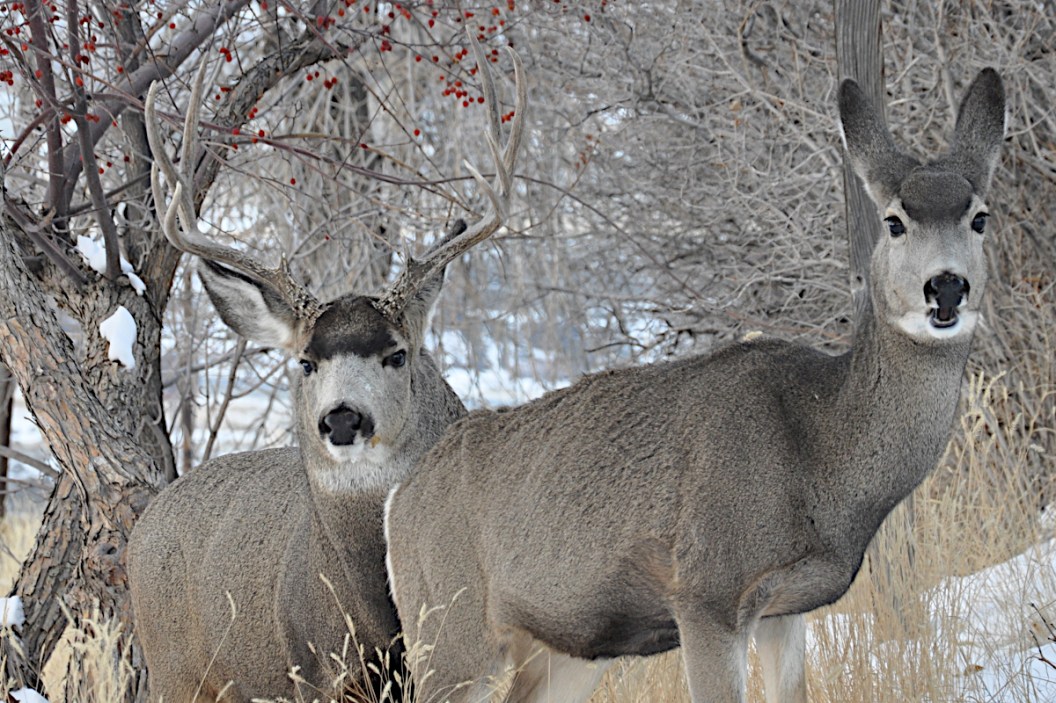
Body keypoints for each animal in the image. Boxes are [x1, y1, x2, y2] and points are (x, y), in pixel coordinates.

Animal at [128, 43, 525, 703]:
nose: (341, 419)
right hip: (174, 673)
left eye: (398, 354)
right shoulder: (318, 673)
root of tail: (144, 526)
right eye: (305, 362)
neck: (385, 626)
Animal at [383, 68, 1006, 703]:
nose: (946, 287)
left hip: (570, 650)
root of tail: (400, 495)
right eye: (894, 220)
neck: (819, 452)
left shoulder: (786, 608)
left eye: (980, 217)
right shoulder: (708, 590)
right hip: (449, 626)